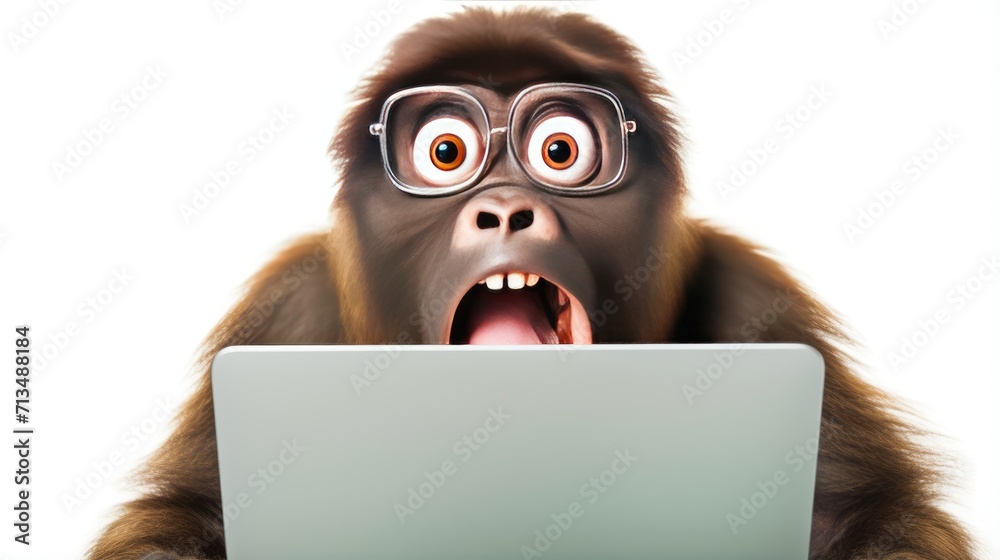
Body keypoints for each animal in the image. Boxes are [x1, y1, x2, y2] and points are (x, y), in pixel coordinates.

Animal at [88, 7, 976, 560]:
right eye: (446, 152)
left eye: (560, 150)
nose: (506, 209)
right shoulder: (282, 311)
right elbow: (187, 515)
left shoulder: (758, 305)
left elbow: (870, 514)